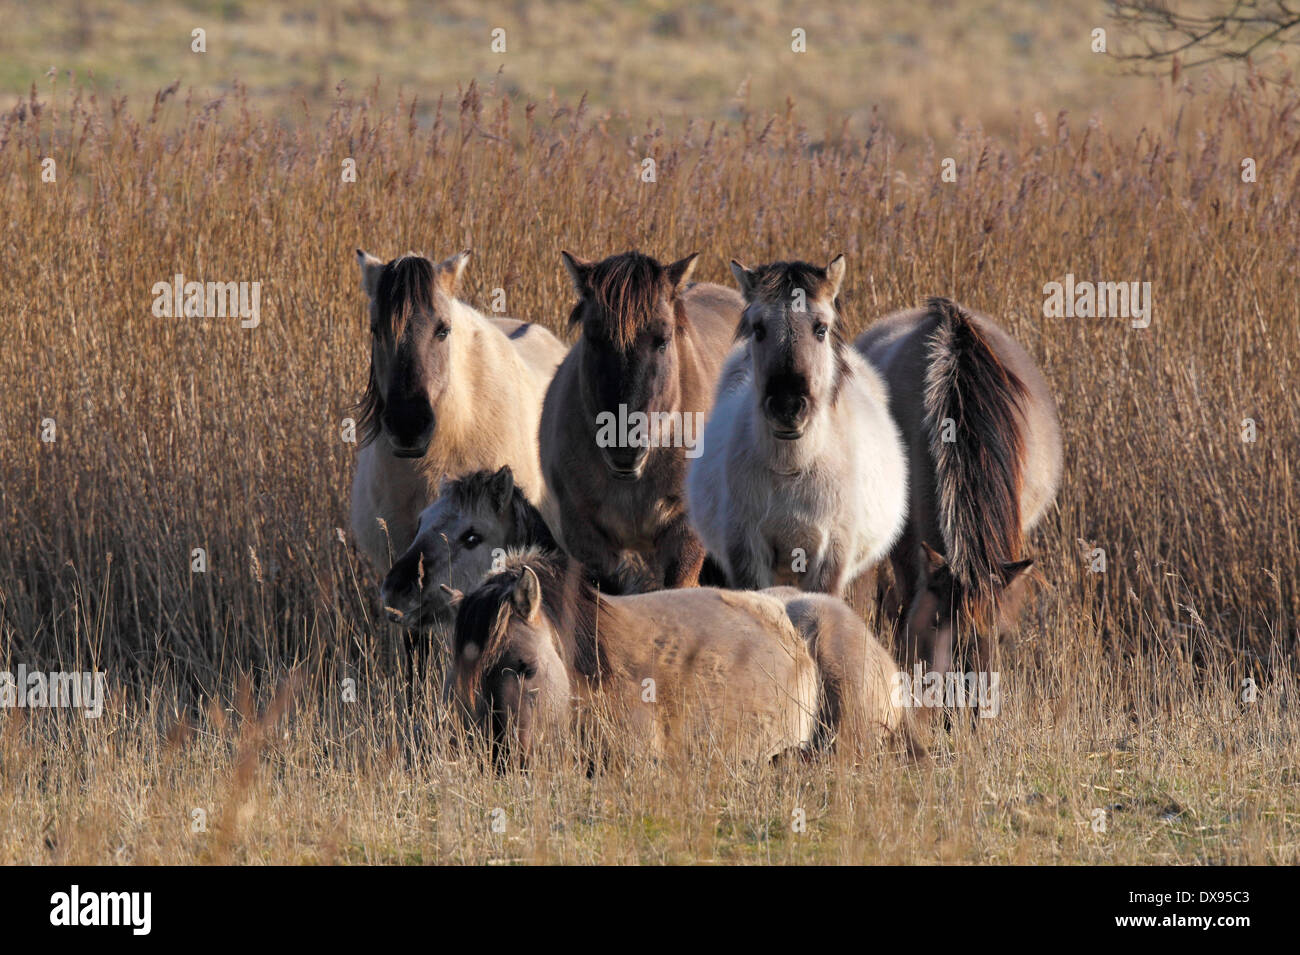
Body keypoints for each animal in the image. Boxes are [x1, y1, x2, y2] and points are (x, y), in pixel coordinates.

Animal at [687, 256, 908, 598]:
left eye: (821, 329)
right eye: (758, 328)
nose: (787, 408)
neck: (792, 468)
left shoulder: (829, 558)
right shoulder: (747, 554)